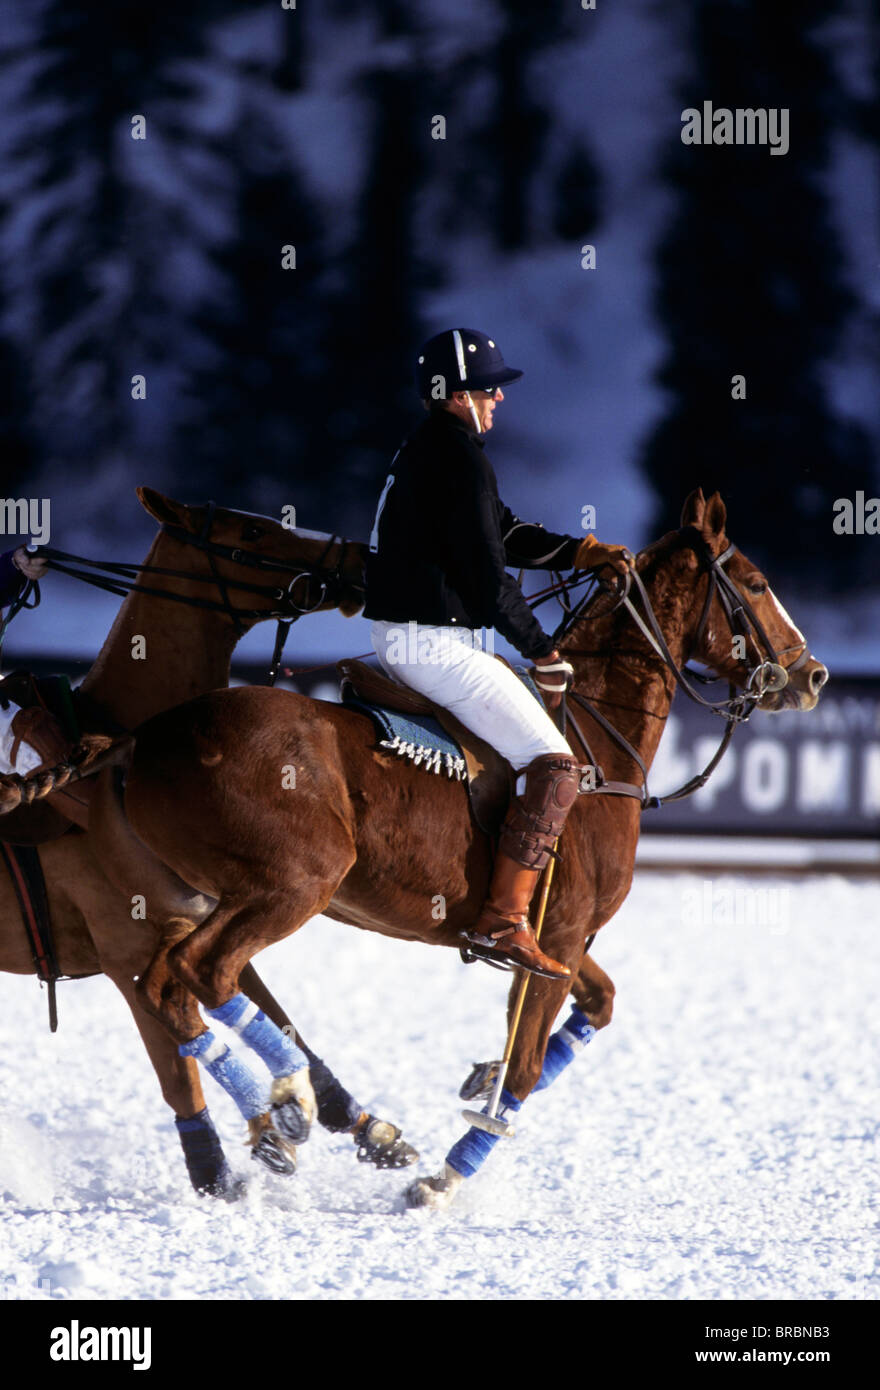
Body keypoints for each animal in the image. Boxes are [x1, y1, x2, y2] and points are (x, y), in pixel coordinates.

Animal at [0, 487, 417, 1197]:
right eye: (248, 533)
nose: (359, 558)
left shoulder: (217, 916)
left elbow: (273, 1021)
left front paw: (351, 1121)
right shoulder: (129, 953)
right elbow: (181, 1071)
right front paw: (236, 1158)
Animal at [110, 489, 829, 1208]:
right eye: (757, 583)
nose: (813, 675)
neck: (602, 746)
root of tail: (146, 739)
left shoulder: (552, 943)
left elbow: (594, 1005)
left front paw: (482, 1075)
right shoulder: (563, 932)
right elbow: (527, 1067)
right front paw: (444, 1177)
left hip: (210, 894)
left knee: (165, 986)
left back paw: (278, 1125)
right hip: (295, 882)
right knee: (205, 970)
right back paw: (290, 1102)